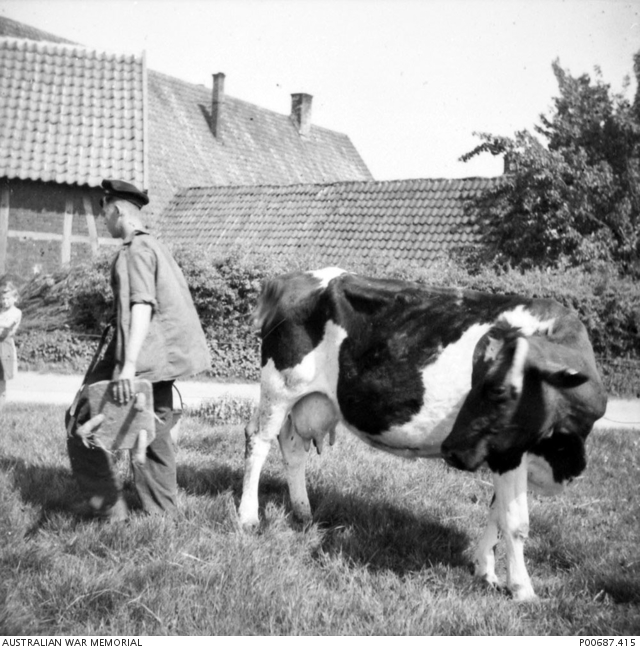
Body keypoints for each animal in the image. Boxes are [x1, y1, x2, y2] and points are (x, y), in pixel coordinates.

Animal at [238, 267, 607, 601]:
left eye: (498, 390)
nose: (453, 450)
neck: (562, 450)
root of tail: (292, 278)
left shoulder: (512, 452)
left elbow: (496, 512)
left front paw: (485, 571)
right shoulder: (507, 451)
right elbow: (515, 522)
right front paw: (522, 590)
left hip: (311, 400)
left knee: (292, 447)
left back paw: (303, 512)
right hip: (279, 387)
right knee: (258, 441)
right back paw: (248, 518)